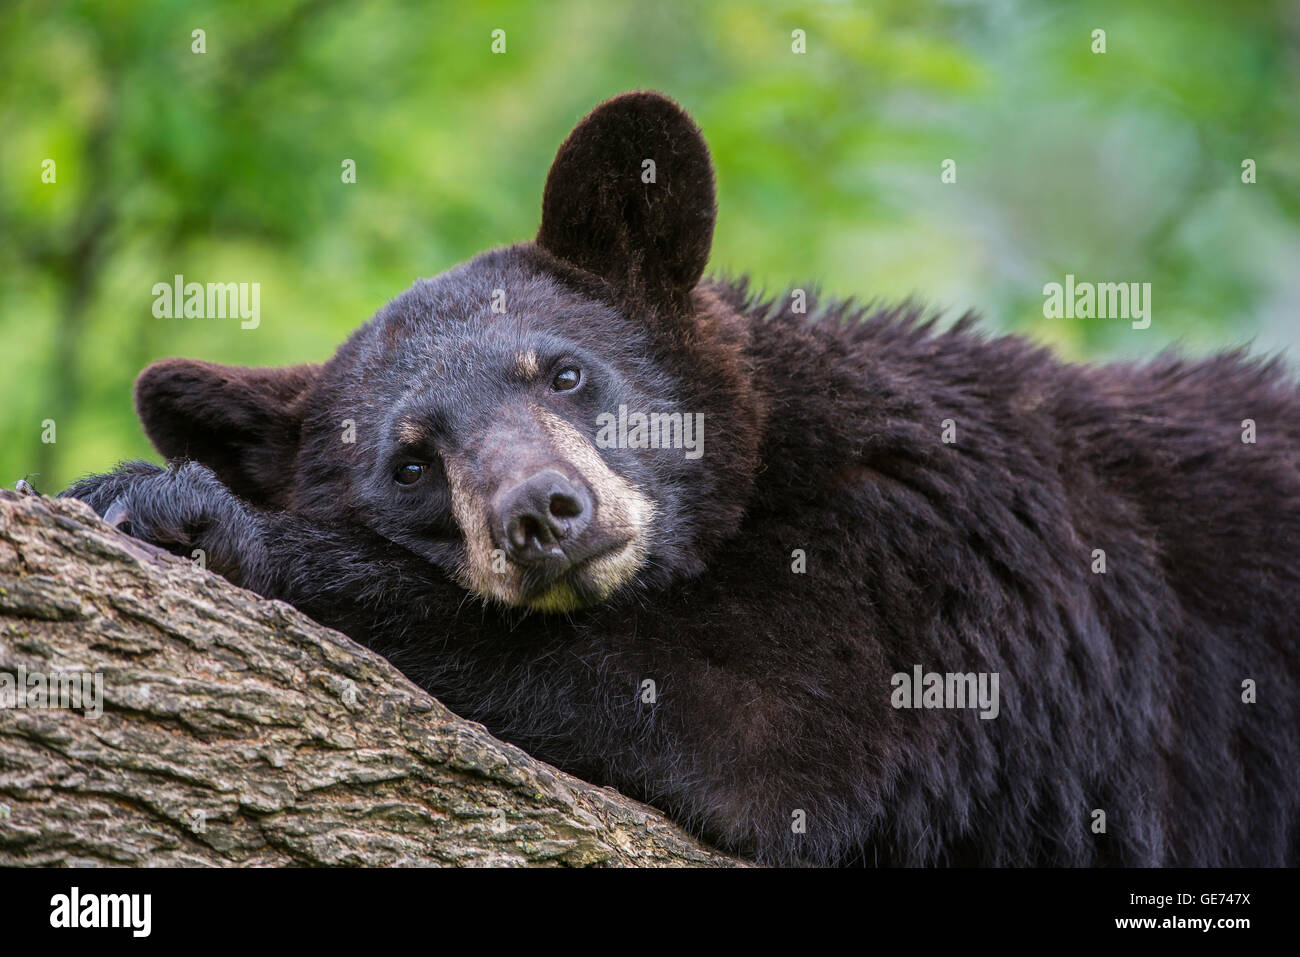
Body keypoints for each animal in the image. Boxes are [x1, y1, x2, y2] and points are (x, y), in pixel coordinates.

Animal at [62, 91, 1300, 867]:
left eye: (566, 371)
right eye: (411, 460)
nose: (543, 515)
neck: (781, 455)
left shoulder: (925, 552)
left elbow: (762, 732)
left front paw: (178, 503)